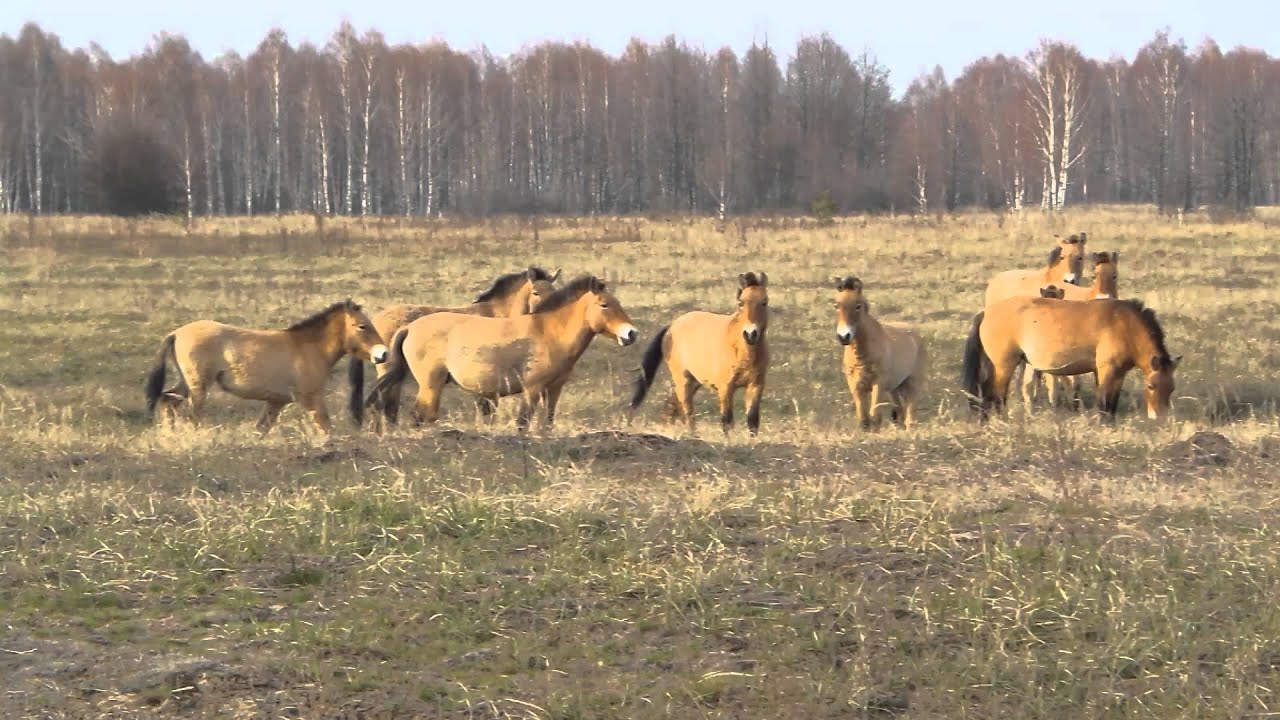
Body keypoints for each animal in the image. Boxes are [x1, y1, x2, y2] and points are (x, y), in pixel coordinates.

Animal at [145, 299, 388, 436]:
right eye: (362, 326)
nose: (383, 354)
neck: (307, 347)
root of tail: (176, 333)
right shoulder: (311, 398)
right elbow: (325, 427)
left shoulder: (276, 402)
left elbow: (261, 429)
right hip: (198, 387)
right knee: (191, 416)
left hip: (186, 384)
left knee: (167, 401)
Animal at [364, 275, 638, 431]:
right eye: (604, 304)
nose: (631, 334)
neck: (547, 331)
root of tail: (409, 327)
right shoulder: (532, 389)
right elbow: (523, 423)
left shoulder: (553, 389)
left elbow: (546, 423)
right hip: (430, 385)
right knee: (419, 416)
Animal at [630, 272, 770, 435]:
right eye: (741, 303)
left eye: (765, 302)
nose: (750, 334)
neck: (742, 352)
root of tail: (672, 326)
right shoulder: (725, 387)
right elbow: (726, 421)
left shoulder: (756, 385)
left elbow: (753, 420)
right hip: (683, 379)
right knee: (687, 412)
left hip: (694, 381)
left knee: (672, 407)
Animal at [831, 276, 928, 430]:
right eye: (836, 306)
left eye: (858, 306)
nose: (844, 336)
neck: (862, 355)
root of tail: (914, 334)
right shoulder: (855, 384)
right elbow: (863, 417)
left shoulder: (879, 383)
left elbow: (875, 414)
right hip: (894, 387)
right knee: (900, 408)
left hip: (913, 382)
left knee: (911, 410)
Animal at [961, 296, 1181, 423]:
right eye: (1151, 386)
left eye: (1171, 388)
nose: (1159, 418)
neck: (1124, 324)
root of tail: (985, 313)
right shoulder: (1106, 370)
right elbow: (1104, 401)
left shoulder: (1118, 373)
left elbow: (1112, 402)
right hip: (1004, 366)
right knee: (996, 395)